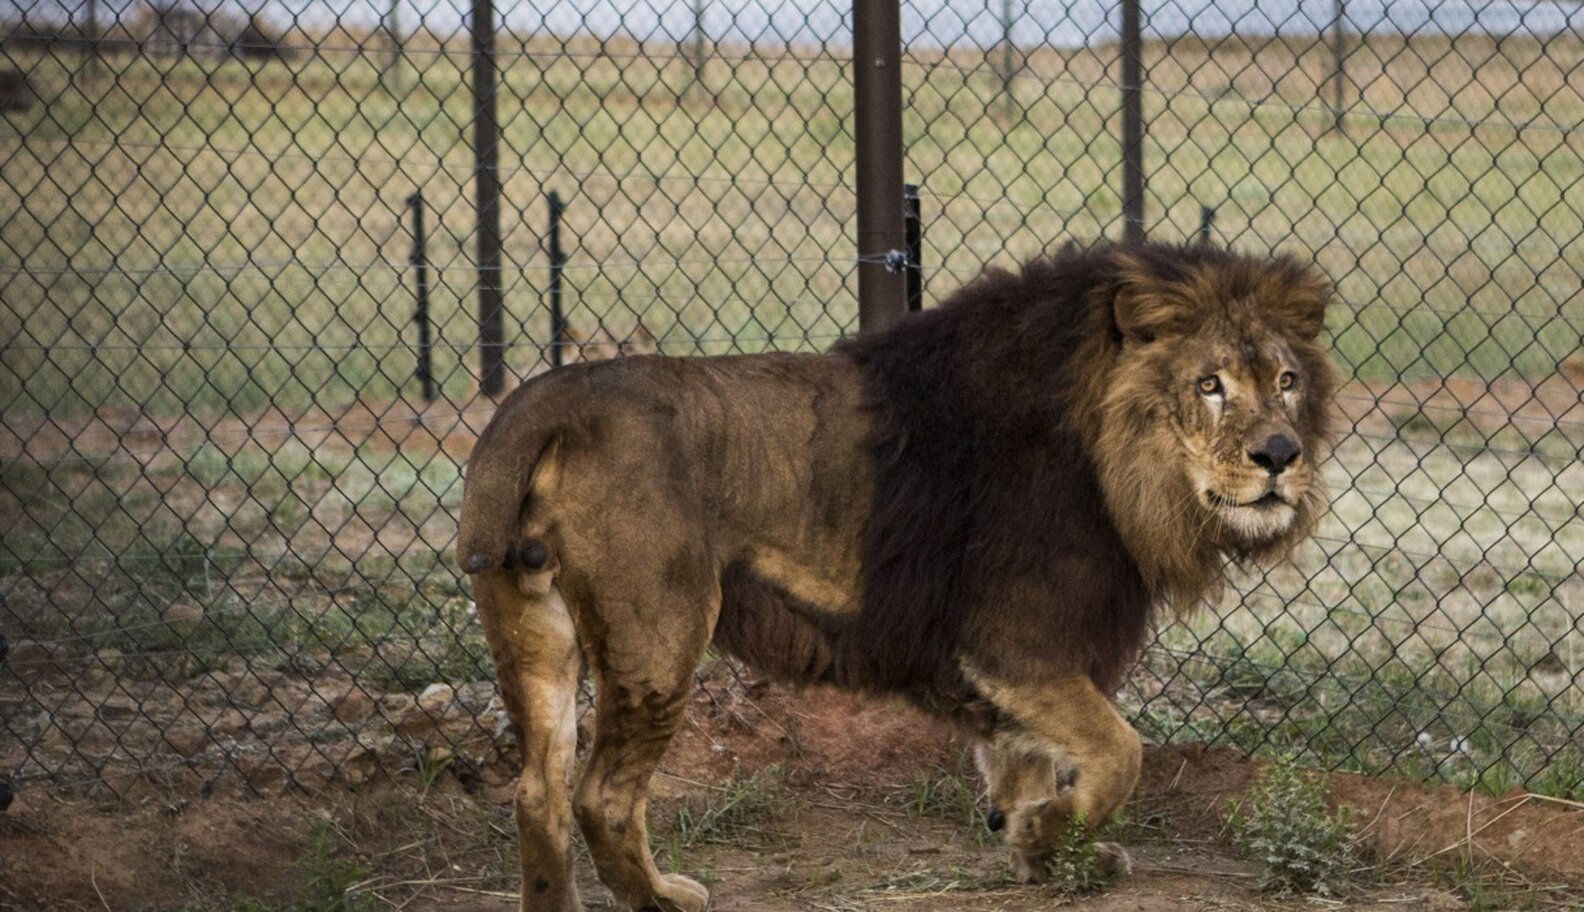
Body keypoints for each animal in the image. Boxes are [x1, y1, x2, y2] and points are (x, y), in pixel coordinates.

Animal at [456, 240, 1338, 911]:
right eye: (1209, 384)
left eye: (1287, 382)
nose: (1280, 456)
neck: (1118, 463)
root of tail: (552, 396)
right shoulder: (1014, 642)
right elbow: (1121, 755)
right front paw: (1047, 834)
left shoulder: (1013, 664)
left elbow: (1023, 759)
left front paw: (1045, 855)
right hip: (660, 632)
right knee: (600, 797)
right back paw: (662, 897)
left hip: (534, 626)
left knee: (537, 793)